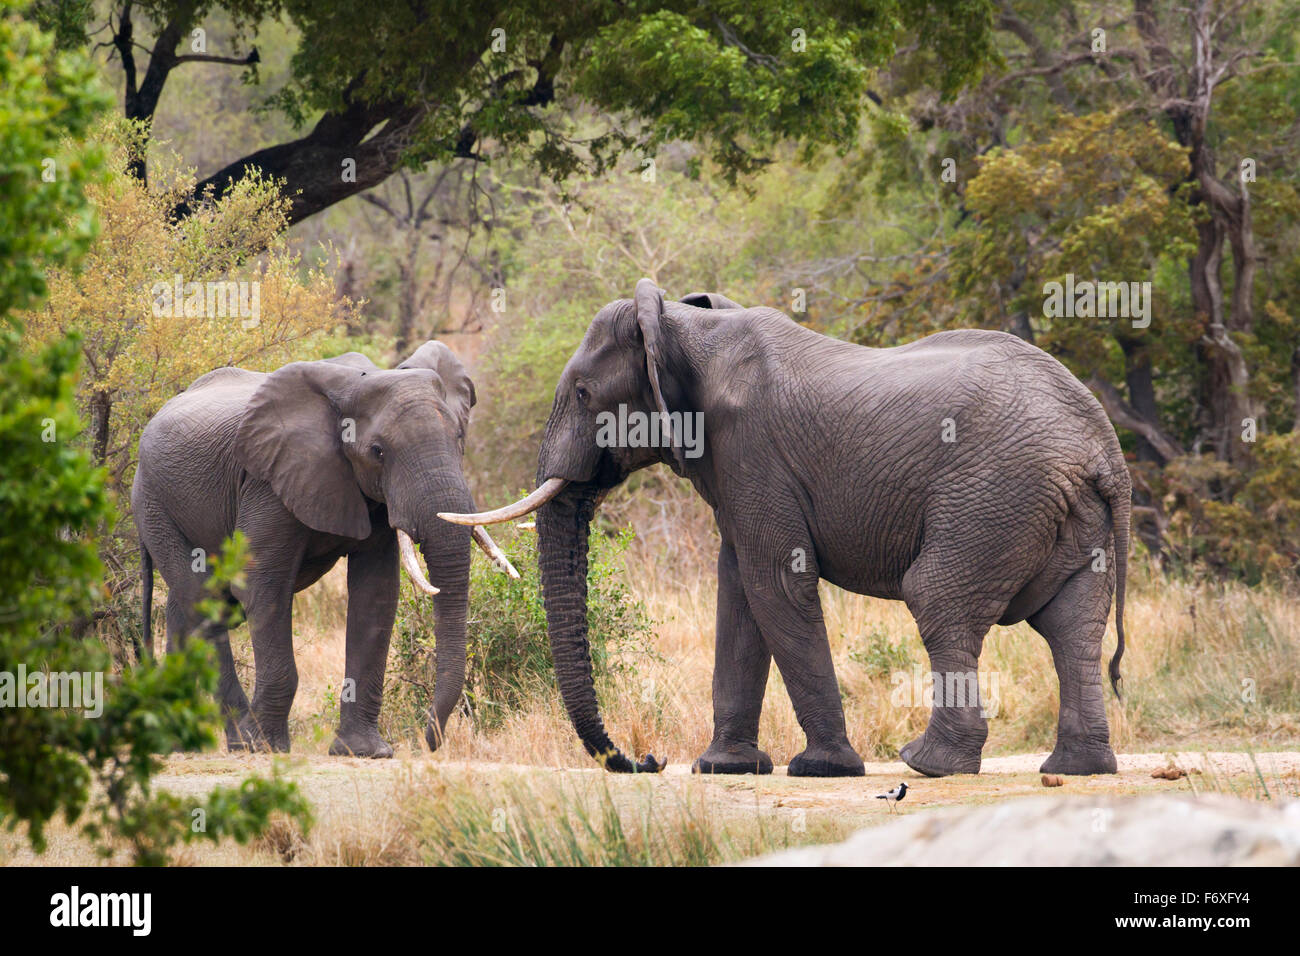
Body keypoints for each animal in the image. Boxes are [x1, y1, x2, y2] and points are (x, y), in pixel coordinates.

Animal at [132, 342, 516, 757]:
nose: (430, 741)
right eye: (378, 451)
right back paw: (244, 742)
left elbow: (376, 594)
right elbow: (263, 586)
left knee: (185, 605)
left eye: (460, 436)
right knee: (204, 598)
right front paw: (270, 747)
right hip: (153, 502)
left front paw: (364, 751)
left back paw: (191, 741)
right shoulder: (269, 482)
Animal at [444, 279, 1131, 778]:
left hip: (995, 495)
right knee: (1071, 624)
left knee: (938, 596)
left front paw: (821, 769)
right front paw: (724, 769)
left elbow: (774, 581)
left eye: (585, 394)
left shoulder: (752, 449)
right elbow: (739, 591)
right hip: (1064, 512)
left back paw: (928, 765)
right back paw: (1081, 768)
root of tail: (1103, 445)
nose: (647, 760)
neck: (684, 329)